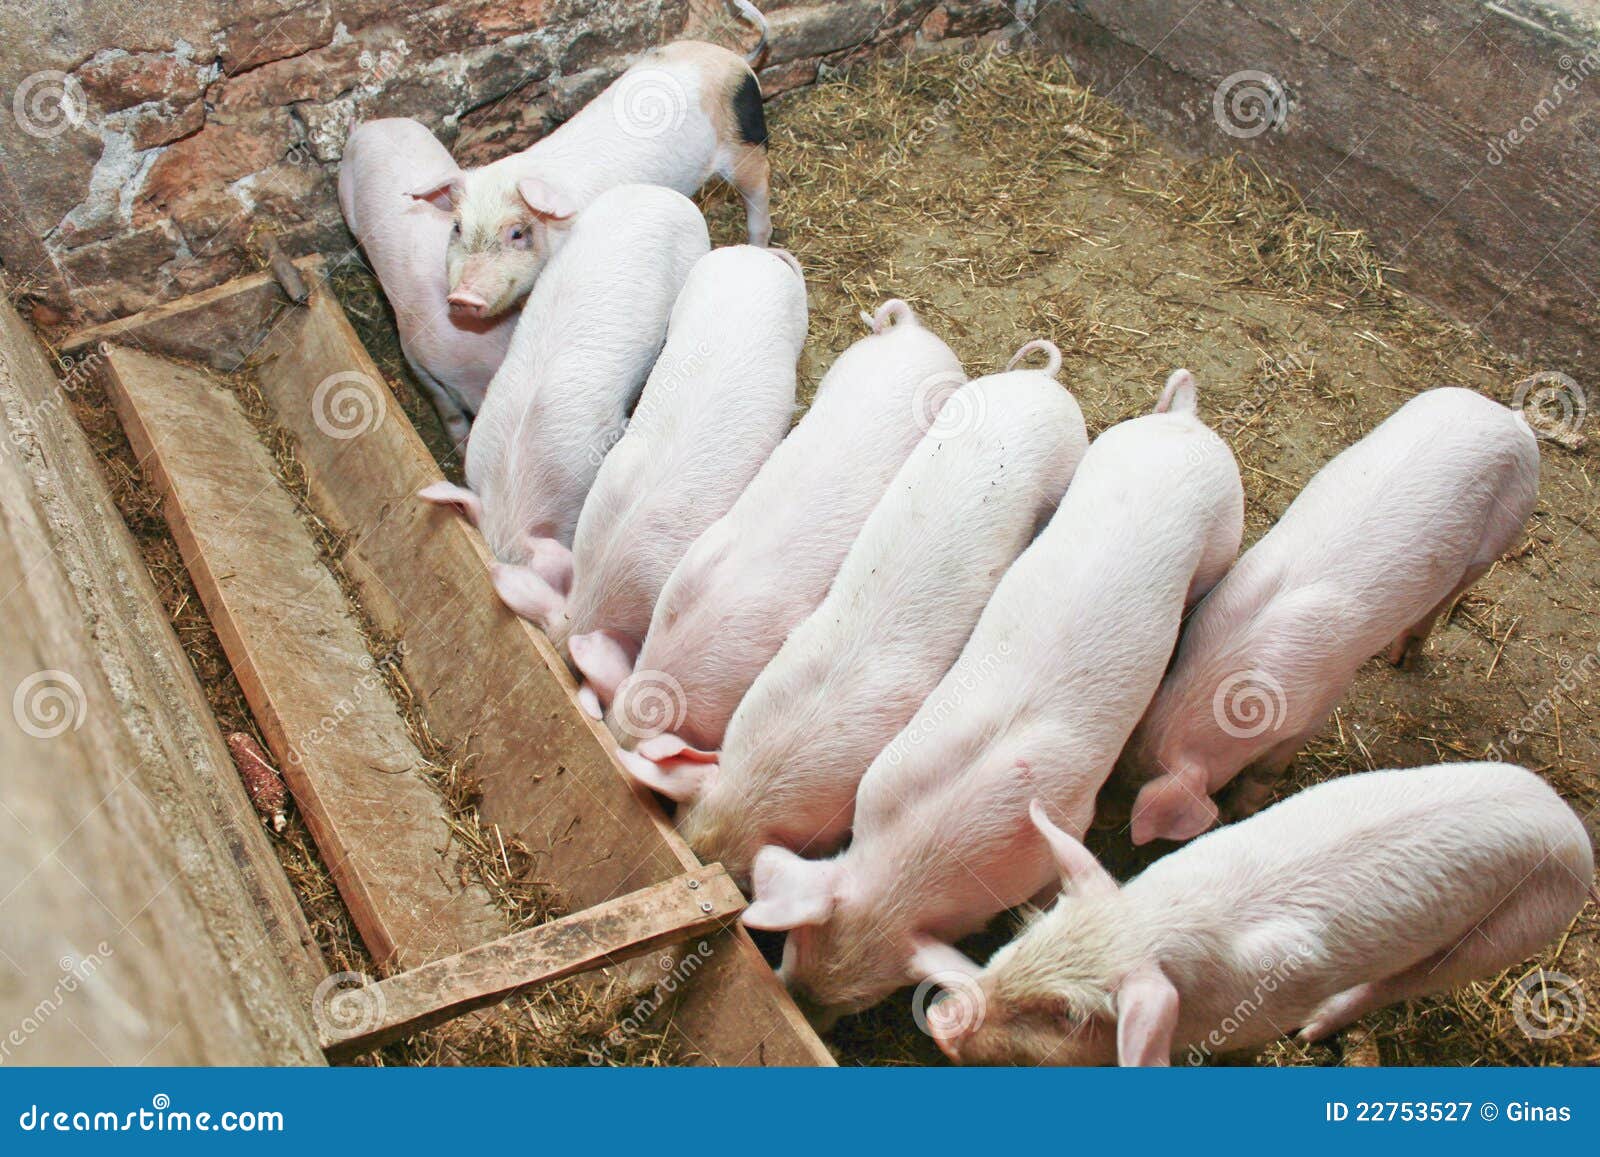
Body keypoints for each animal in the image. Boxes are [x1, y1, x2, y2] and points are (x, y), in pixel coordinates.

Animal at [742, 370, 1245, 1023]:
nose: (799, 1005)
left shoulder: (1067, 821)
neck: (925, 844)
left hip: (1224, 530)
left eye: (859, 1003)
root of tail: (1187, 421)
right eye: (796, 944)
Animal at [930, 762, 1595, 1066]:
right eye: (1023, 938)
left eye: (1066, 1015)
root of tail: (1567, 821)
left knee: (1397, 984)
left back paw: (1314, 1032)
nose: (941, 1020)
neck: (1158, 922)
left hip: (1506, 935)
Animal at [1119, 386, 1540, 847]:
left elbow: (1268, 768)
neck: (1220, 668)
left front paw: (1236, 812)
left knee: (1449, 594)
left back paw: (1402, 659)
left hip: (1502, 532)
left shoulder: (1318, 705)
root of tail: (1504, 414)